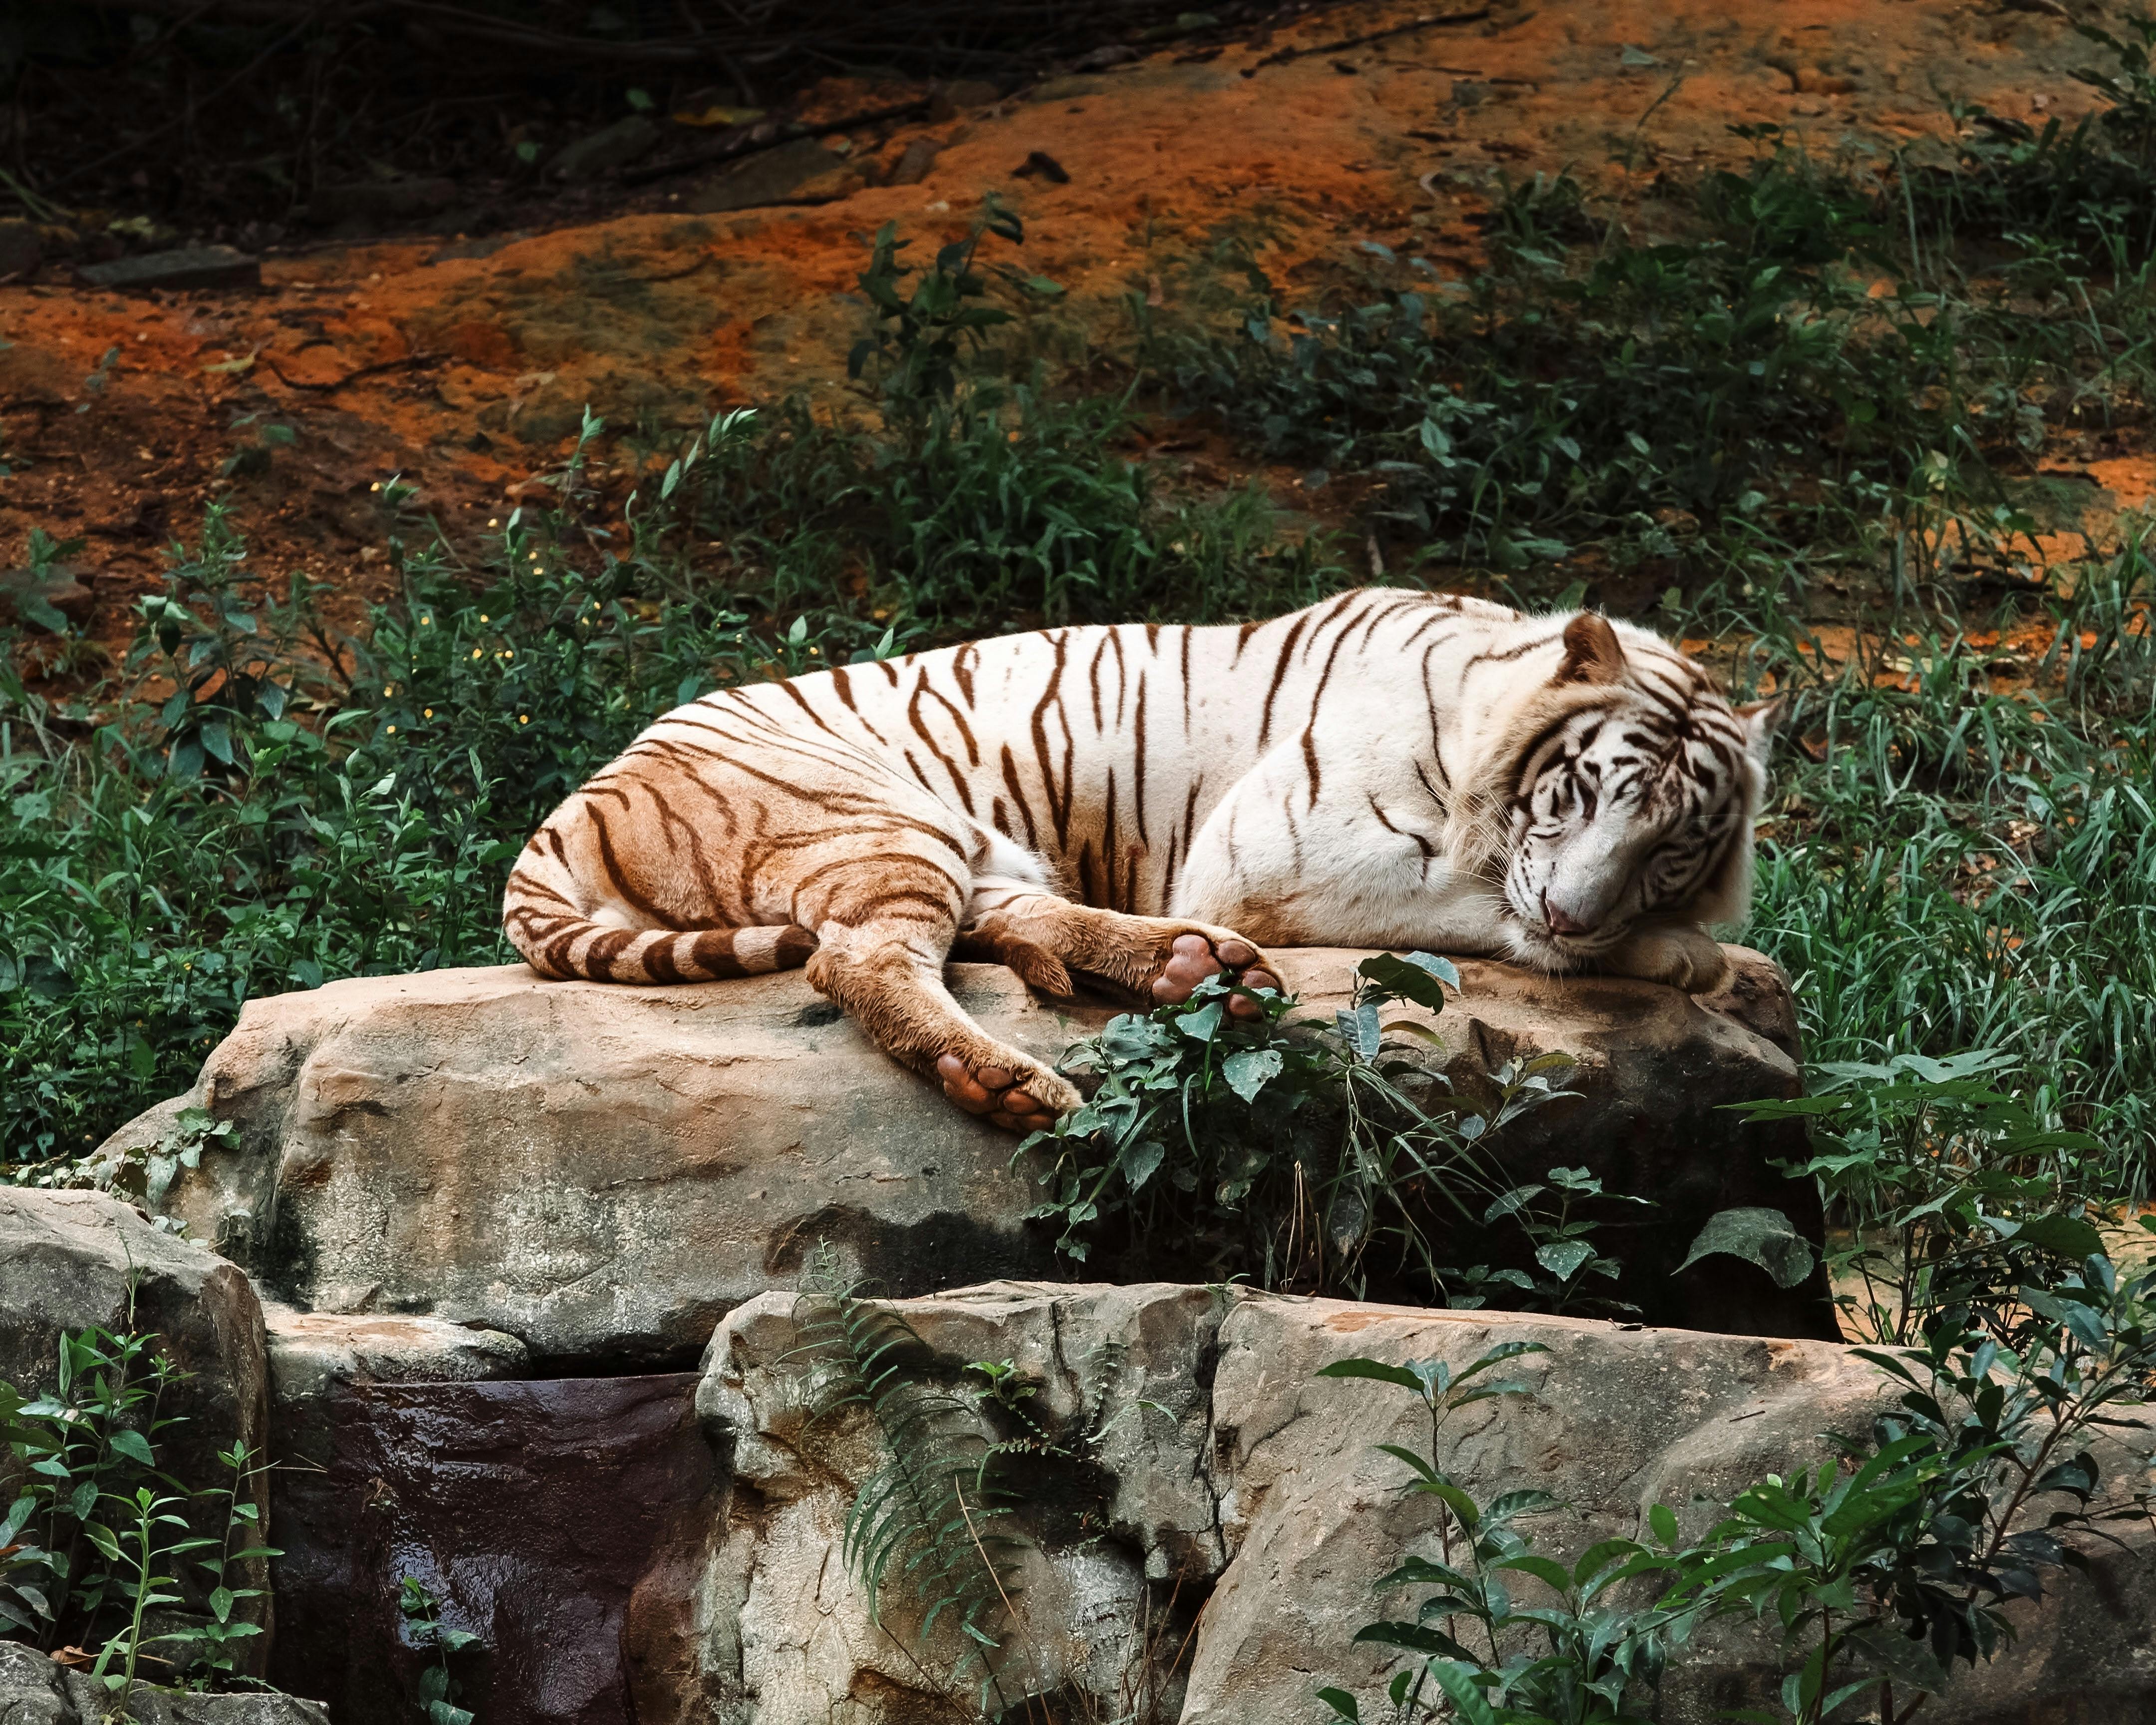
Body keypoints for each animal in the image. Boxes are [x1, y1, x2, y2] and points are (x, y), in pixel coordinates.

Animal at [502, 589, 1777, 1133]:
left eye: (1672, 847)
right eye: (1579, 794)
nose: (1577, 918)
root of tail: (575, 802)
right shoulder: (1283, 850)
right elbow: (1480, 900)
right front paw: (1690, 957)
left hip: (969, 838)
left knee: (1000, 922)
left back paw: (1188, 968)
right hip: (872, 815)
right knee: (857, 959)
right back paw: (1011, 1081)